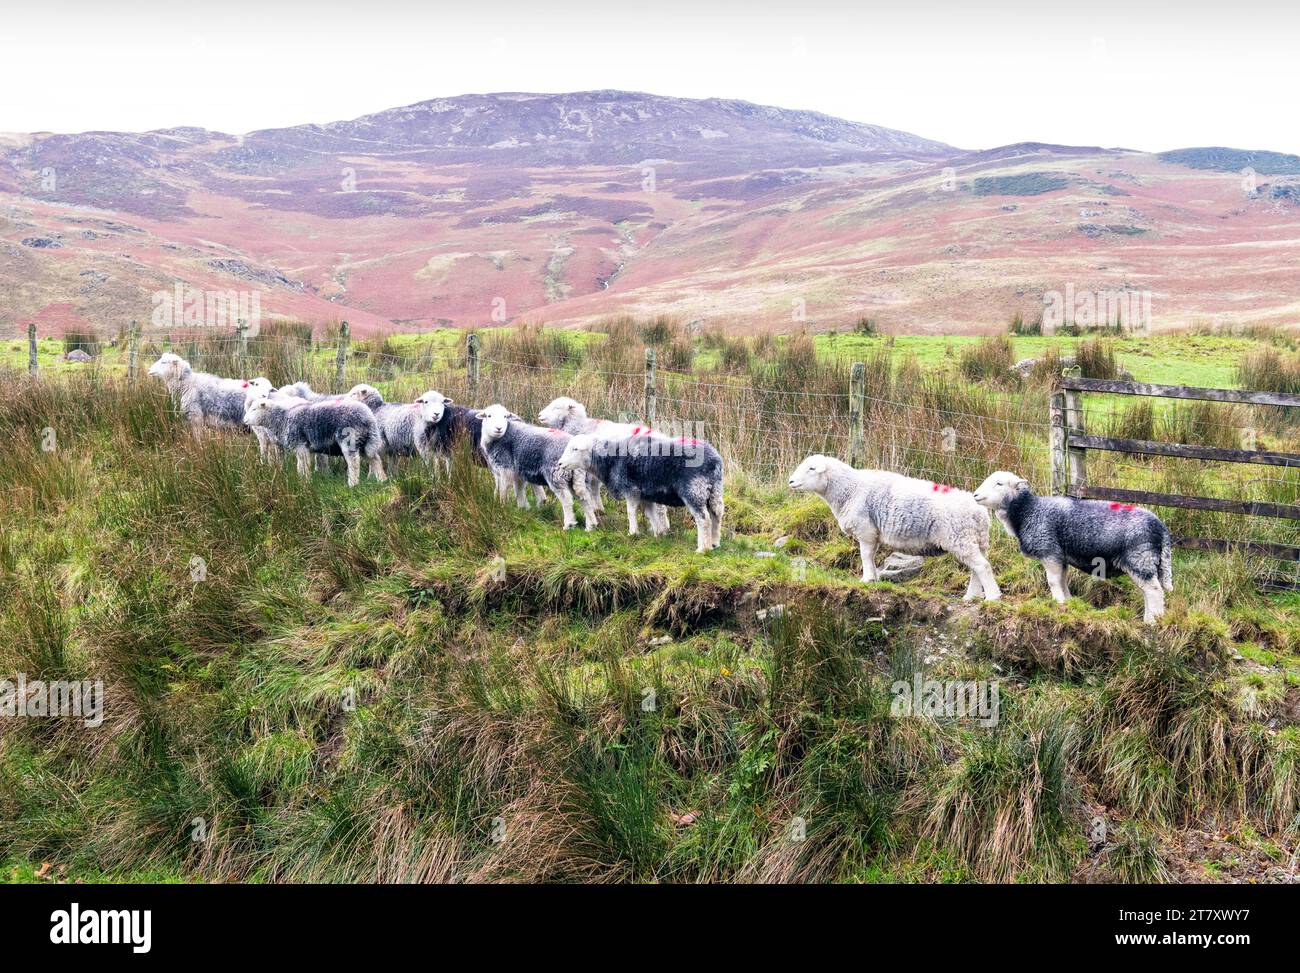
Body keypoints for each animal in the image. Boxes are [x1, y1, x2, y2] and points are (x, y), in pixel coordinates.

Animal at [243, 393, 386, 487]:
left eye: (254, 409)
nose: (244, 420)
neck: (282, 419)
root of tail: (368, 417)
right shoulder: (299, 447)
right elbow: (300, 465)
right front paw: (301, 479)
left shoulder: (301, 445)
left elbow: (304, 465)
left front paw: (306, 481)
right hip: (365, 441)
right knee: (375, 459)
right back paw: (381, 479)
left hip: (349, 440)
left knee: (354, 462)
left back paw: (352, 483)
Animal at [556, 429, 724, 552]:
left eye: (575, 449)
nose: (560, 464)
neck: (611, 460)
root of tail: (715, 461)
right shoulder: (646, 494)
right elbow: (651, 514)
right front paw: (658, 534)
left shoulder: (631, 489)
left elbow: (631, 512)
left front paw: (633, 532)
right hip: (714, 490)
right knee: (716, 515)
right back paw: (714, 543)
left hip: (694, 490)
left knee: (704, 519)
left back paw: (703, 548)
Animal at [788, 455, 1000, 600]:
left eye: (811, 468)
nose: (790, 481)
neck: (849, 489)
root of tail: (980, 513)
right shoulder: (873, 533)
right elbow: (871, 556)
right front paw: (874, 578)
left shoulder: (866, 530)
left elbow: (865, 555)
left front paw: (867, 579)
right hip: (976, 541)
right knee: (977, 568)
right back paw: (971, 596)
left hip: (960, 537)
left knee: (982, 567)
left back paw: (992, 597)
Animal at [972, 471, 1172, 622]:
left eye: (999, 483)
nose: (975, 495)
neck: (1028, 511)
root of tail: (1161, 528)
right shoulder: (1060, 556)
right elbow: (1062, 580)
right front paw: (1067, 603)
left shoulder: (1049, 551)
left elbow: (1053, 581)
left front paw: (1058, 603)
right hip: (1145, 562)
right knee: (1147, 591)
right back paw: (1148, 618)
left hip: (1140, 558)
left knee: (1154, 591)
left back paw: (1153, 621)